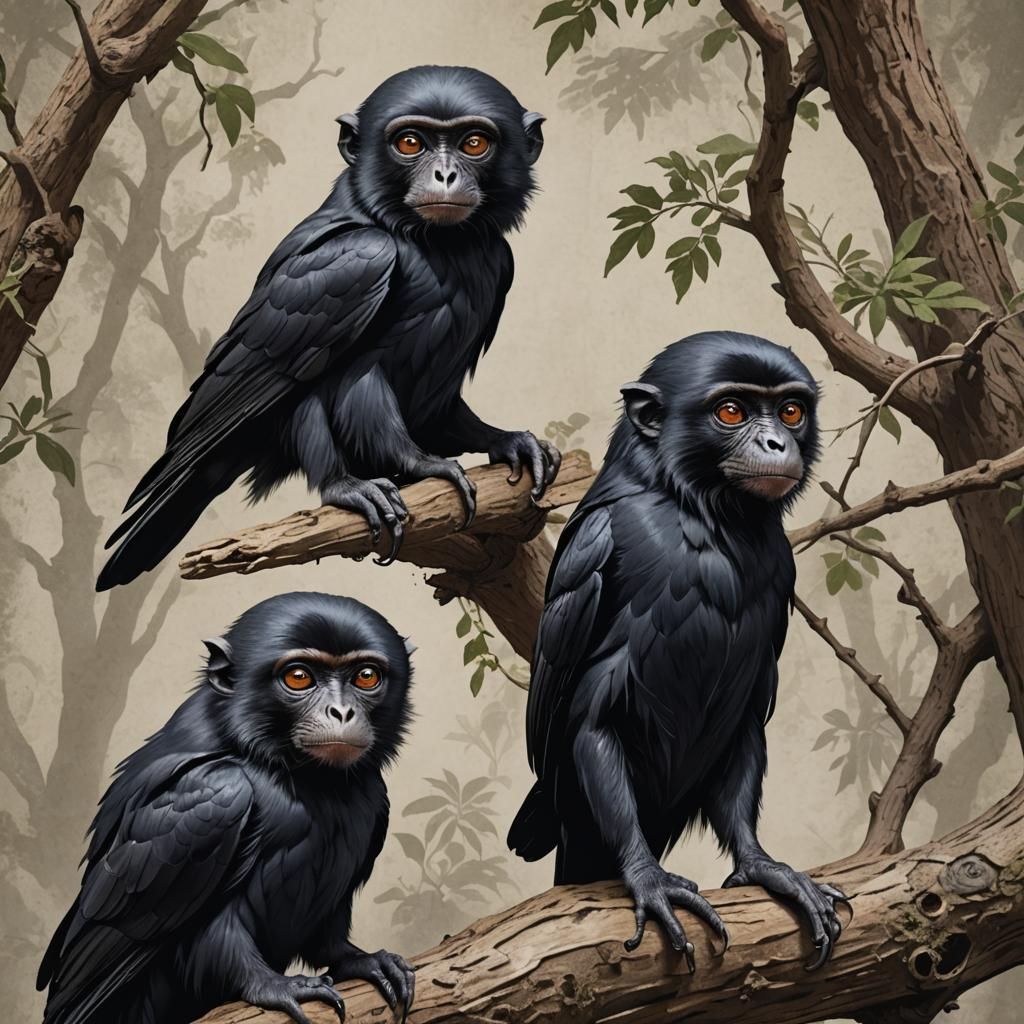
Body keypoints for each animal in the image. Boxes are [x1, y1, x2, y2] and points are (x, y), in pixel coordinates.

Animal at [38, 592, 416, 1024]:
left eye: (366, 676)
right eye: (299, 677)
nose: (341, 712)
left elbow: (329, 943)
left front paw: (366, 959)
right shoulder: (222, 791)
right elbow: (223, 946)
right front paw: (276, 986)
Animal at [96, 66, 560, 591]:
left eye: (475, 142)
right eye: (410, 142)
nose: (445, 175)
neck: (432, 243)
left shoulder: (458, 348)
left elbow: (449, 417)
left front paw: (510, 440)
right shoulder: (366, 285)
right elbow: (373, 416)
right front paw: (425, 465)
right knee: (308, 421)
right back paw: (352, 488)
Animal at [508, 331, 848, 971]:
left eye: (791, 410)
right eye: (732, 411)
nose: (777, 442)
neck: (702, 514)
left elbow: (740, 766)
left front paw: (764, 866)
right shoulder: (593, 552)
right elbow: (595, 731)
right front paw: (650, 880)